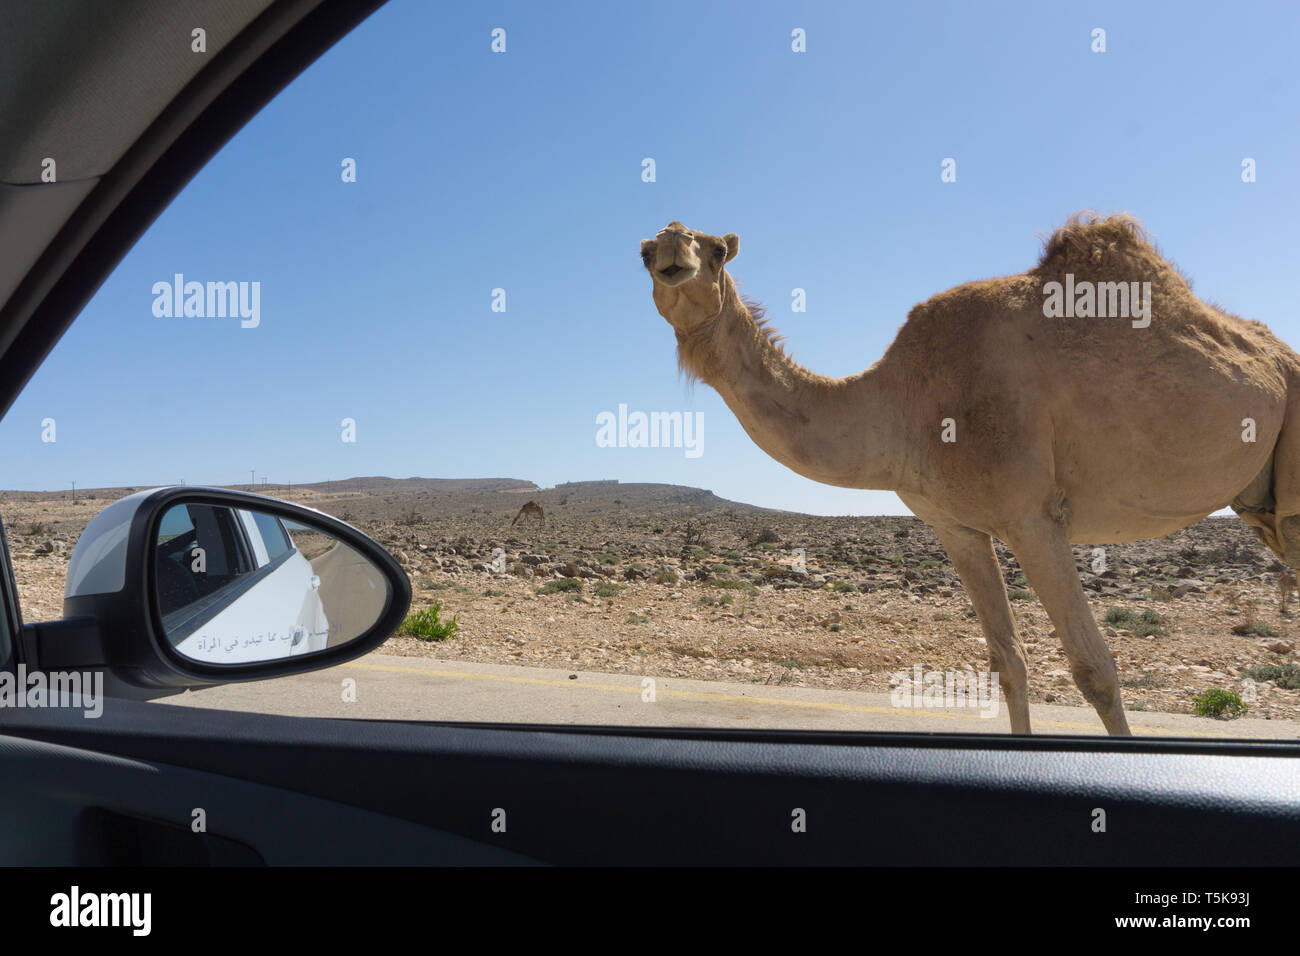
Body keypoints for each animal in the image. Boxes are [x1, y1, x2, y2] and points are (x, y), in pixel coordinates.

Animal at [641, 215, 1300, 735]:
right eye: (645, 250)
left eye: (716, 250)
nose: (672, 247)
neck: (908, 401)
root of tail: (1279, 356)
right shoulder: (955, 526)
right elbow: (1008, 663)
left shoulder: (1033, 517)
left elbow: (1095, 670)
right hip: (1260, 503)